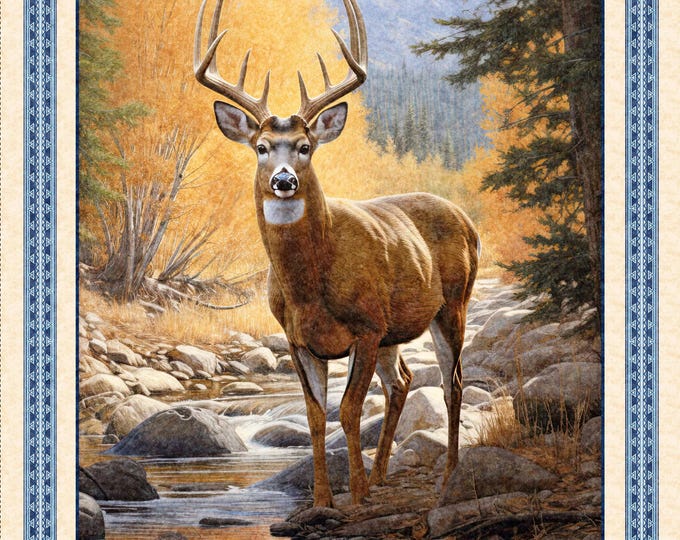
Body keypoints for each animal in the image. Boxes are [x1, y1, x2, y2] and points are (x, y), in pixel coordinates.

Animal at [194, 0, 479, 508]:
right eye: (261, 147)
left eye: (305, 147)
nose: (283, 180)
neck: (312, 286)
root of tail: (468, 222)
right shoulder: (299, 341)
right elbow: (314, 416)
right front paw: (322, 500)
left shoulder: (366, 327)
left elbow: (347, 411)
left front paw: (357, 495)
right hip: (395, 331)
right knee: (402, 381)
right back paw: (385, 473)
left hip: (452, 304)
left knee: (452, 384)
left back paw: (448, 474)